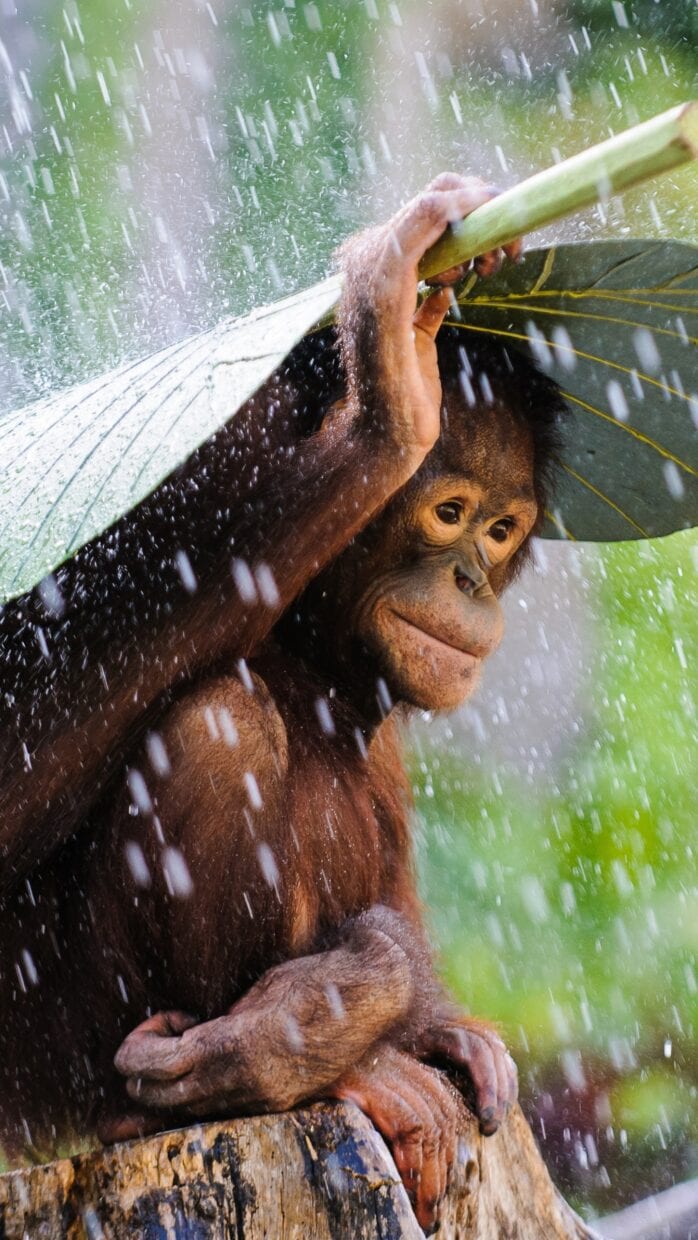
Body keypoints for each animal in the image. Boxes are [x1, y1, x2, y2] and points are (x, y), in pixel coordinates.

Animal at [0, 173, 565, 1231]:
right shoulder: (200, 464)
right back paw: (288, 1076)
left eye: (504, 528)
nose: (472, 578)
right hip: (67, 1053)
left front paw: (423, 1020)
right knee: (219, 722)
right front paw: (390, 392)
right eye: (449, 512)